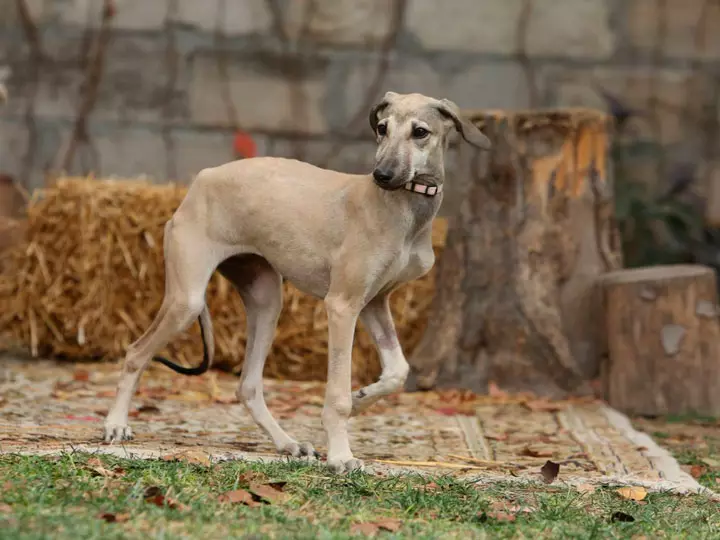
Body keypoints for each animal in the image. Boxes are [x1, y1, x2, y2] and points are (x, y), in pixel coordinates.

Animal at [104, 90, 492, 470]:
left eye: (420, 132)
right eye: (382, 128)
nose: (381, 174)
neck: (405, 211)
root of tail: (204, 177)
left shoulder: (373, 303)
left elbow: (398, 370)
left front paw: (362, 397)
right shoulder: (342, 306)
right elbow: (337, 395)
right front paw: (341, 455)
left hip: (266, 302)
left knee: (248, 386)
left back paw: (288, 444)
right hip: (187, 300)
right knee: (136, 352)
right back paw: (116, 424)